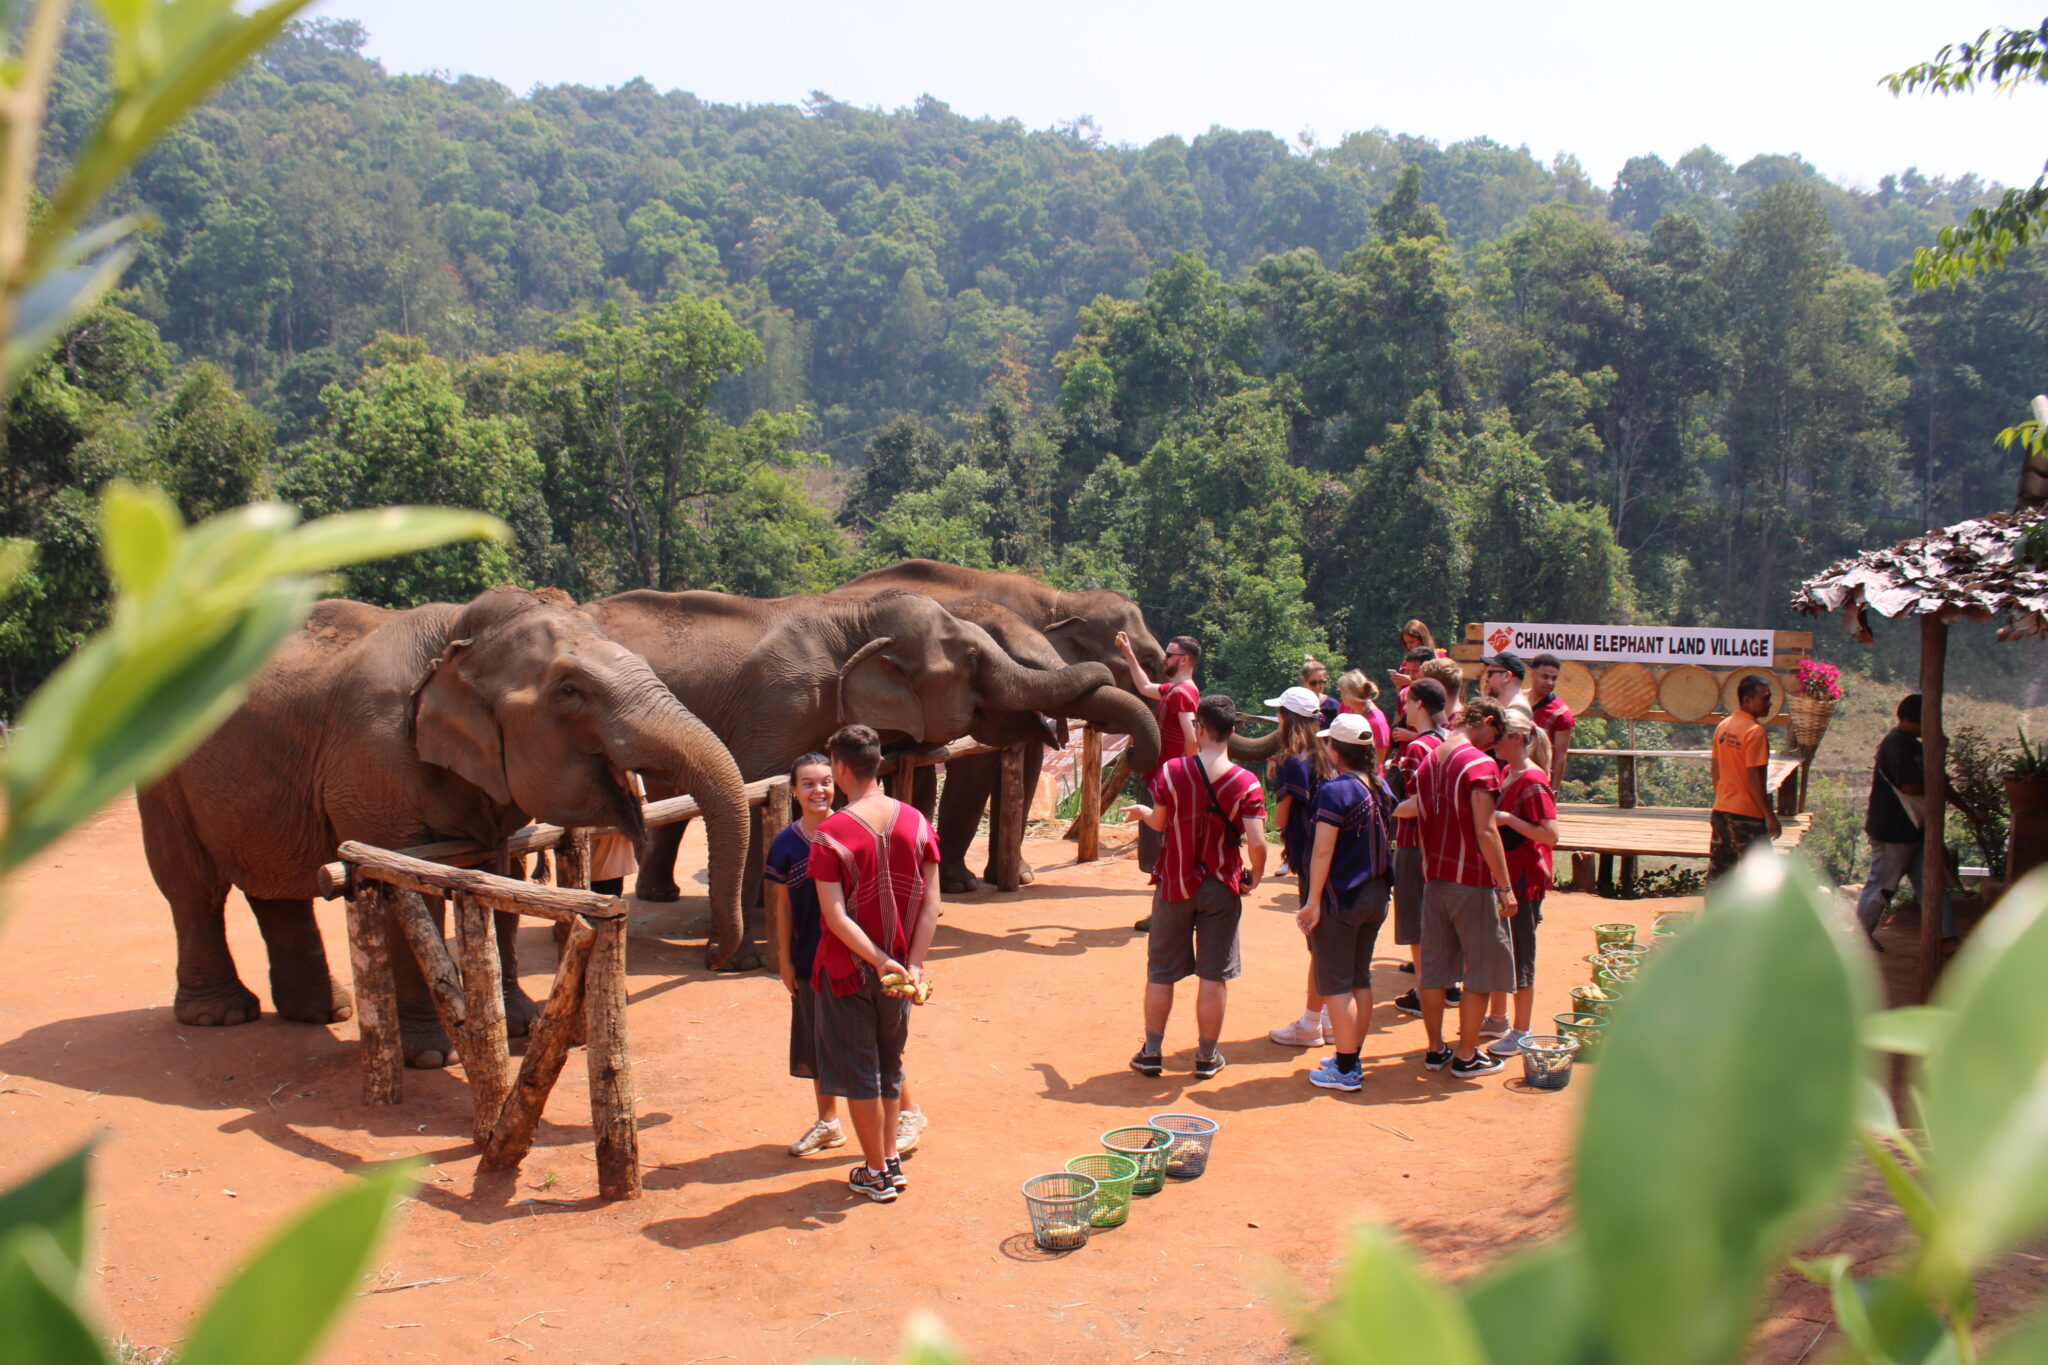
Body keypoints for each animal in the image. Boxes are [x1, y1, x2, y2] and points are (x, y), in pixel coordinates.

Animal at [138, 586, 751, 1068]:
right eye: (569, 691)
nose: (715, 957)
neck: (458, 639)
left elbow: (503, 877)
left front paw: (522, 1025)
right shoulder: (372, 763)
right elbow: (406, 888)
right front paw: (437, 1055)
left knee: (275, 885)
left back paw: (325, 1012)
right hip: (160, 773)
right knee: (191, 886)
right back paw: (220, 1016)